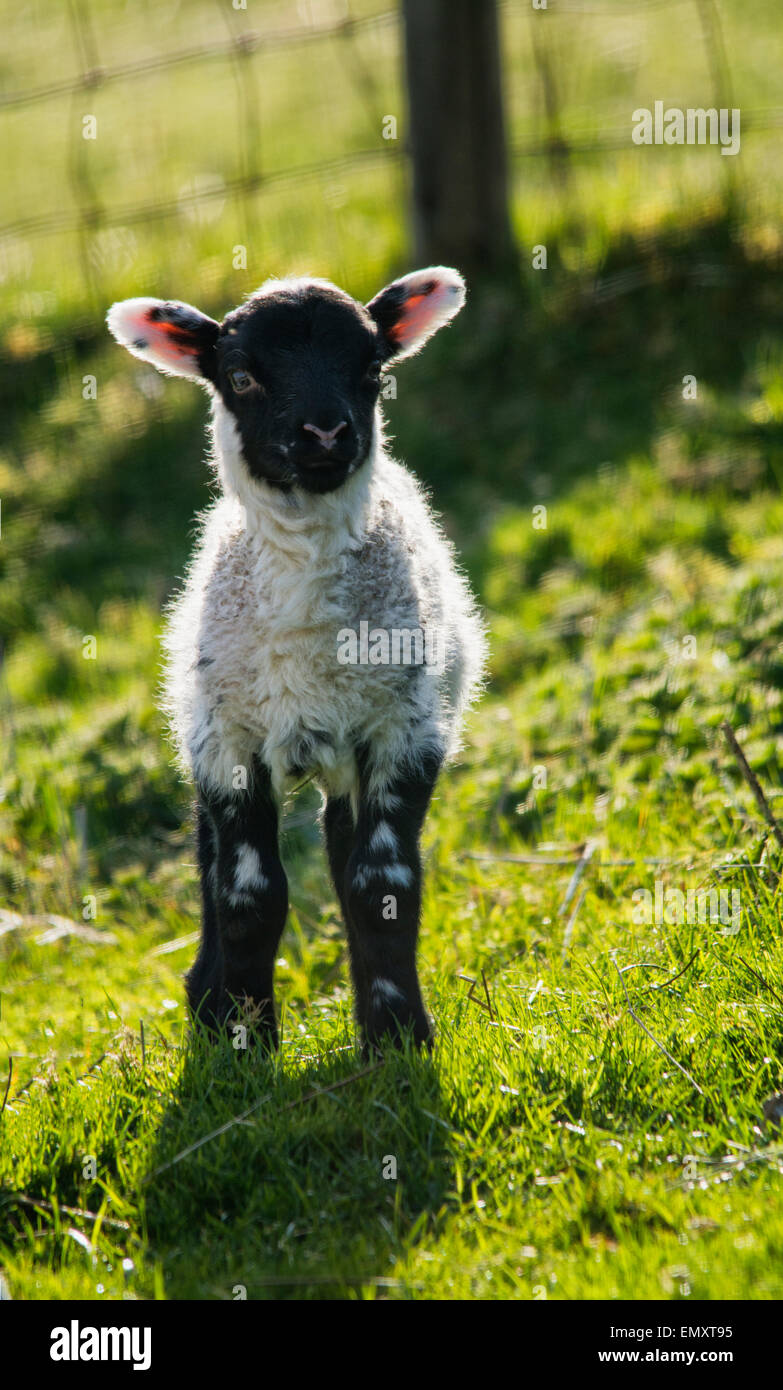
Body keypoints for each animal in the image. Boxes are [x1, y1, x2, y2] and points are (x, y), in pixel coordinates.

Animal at [107, 267, 487, 1052]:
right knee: (209, 859)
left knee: (344, 852)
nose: (325, 432)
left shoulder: (404, 732)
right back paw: (207, 1000)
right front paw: (244, 1043)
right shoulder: (229, 743)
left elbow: (382, 885)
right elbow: (246, 894)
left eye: (372, 369)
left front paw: (396, 1036)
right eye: (241, 377)